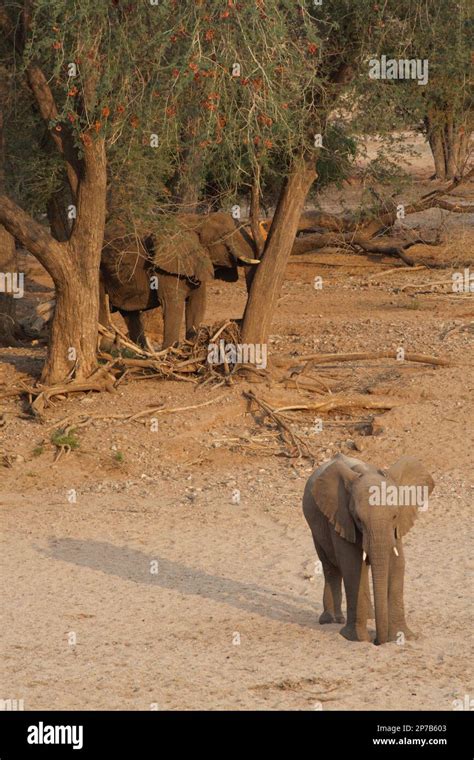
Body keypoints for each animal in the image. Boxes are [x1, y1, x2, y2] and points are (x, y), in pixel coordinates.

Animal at [99, 212, 262, 348]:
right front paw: (169, 353)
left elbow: (197, 304)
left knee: (129, 314)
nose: (236, 321)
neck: (198, 221)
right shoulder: (166, 267)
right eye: (224, 237)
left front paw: (192, 345)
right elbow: (173, 305)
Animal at [302, 453, 434, 645]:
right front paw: (356, 638)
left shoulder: (396, 527)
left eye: (395, 515)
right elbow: (353, 566)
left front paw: (402, 636)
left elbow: (397, 563)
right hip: (315, 526)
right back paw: (331, 620)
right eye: (358, 519)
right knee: (330, 568)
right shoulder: (341, 517)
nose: (378, 642)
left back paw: (369, 616)